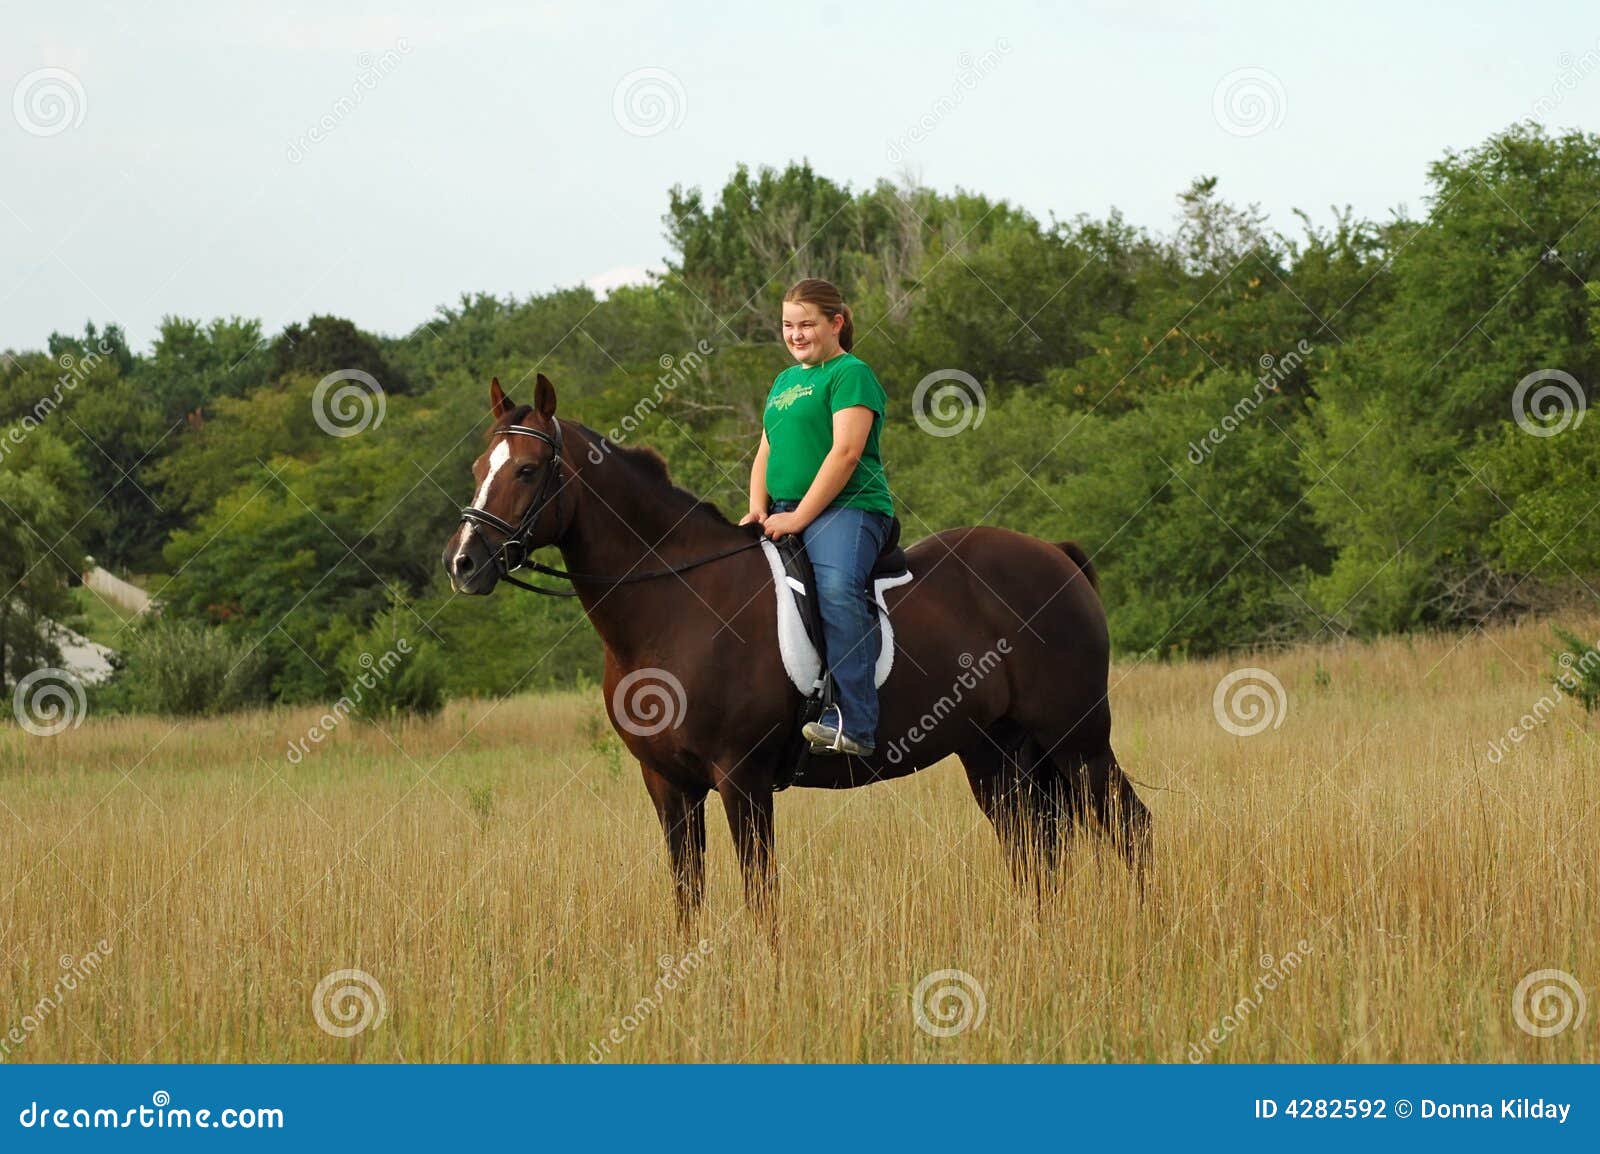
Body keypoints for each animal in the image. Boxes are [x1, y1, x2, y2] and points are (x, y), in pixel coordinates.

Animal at [442, 375, 1150, 926]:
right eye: (479, 471)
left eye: (528, 470)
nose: (463, 563)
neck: (676, 602)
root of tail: (1055, 555)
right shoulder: (668, 786)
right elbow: (687, 898)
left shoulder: (743, 779)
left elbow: (761, 899)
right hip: (996, 754)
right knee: (1036, 852)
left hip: (1077, 740)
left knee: (1130, 829)